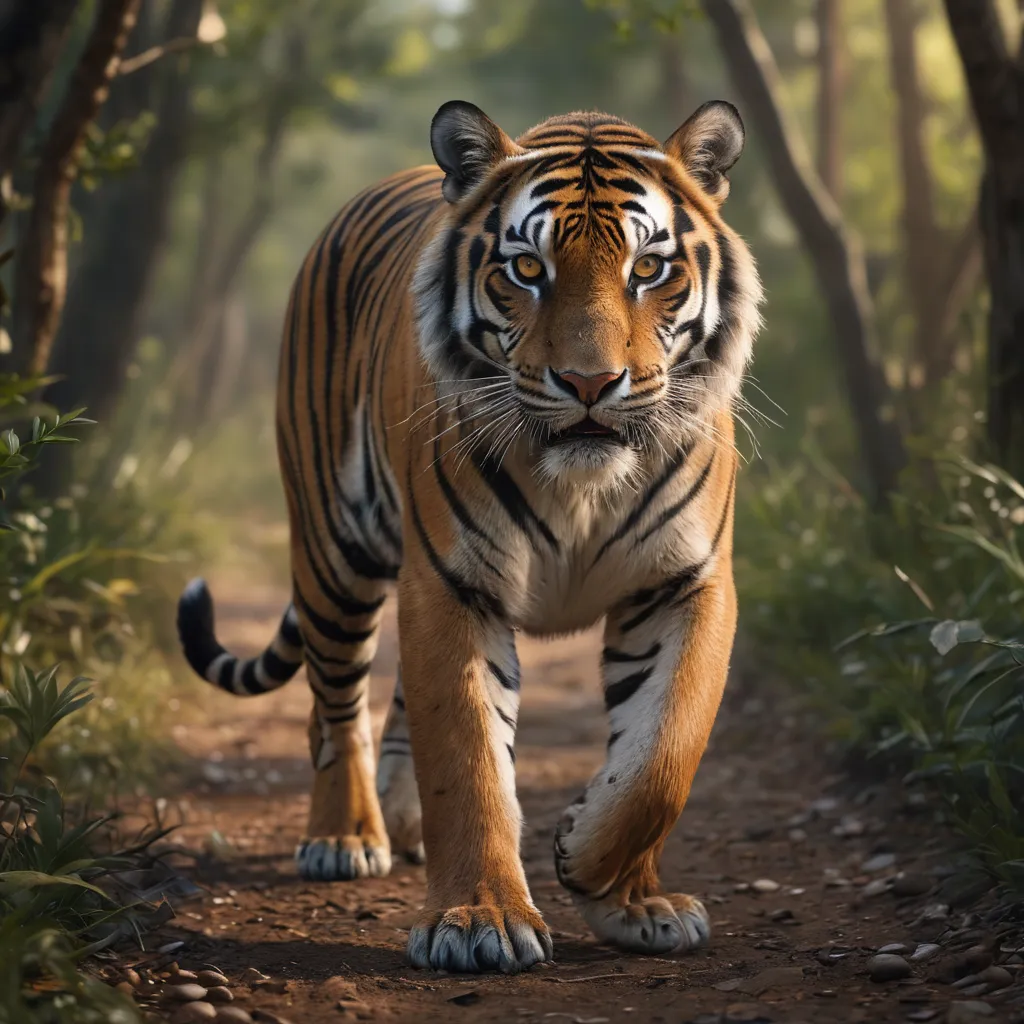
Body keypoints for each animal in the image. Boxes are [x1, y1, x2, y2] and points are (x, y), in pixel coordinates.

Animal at [177, 99, 762, 973]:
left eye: (649, 269)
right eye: (527, 270)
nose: (590, 383)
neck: (582, 481)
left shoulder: (685, 582)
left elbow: (662, 756)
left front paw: (616, 885)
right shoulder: (453, 584)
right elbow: (469, 762)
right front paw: (481, 921)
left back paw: (398, 818)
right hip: (334, 551)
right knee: (335, 705)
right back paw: (345, 837)